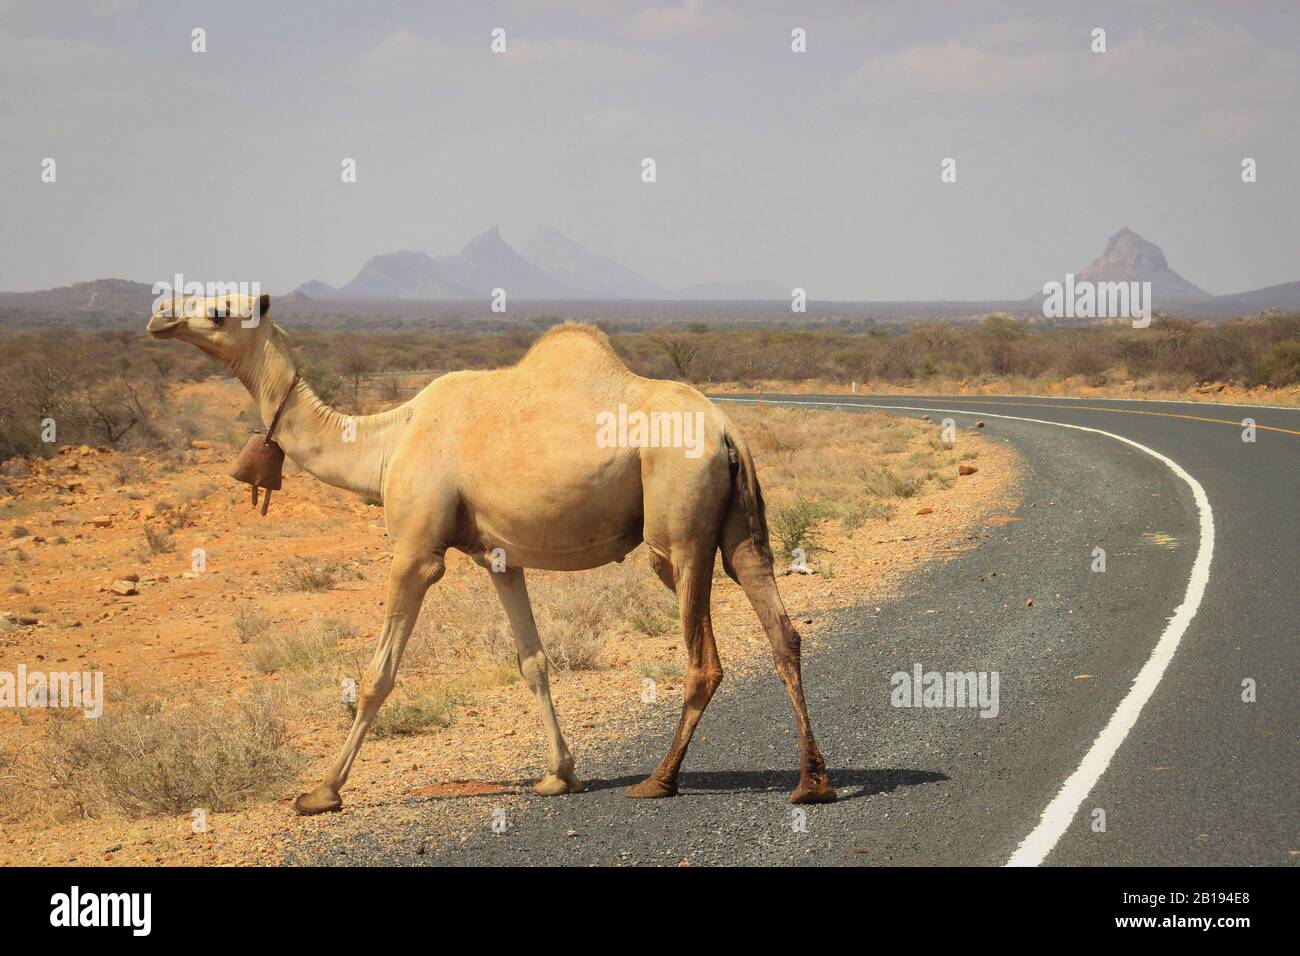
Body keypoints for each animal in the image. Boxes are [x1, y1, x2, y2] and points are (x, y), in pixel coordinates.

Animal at [147, 293, 835, 813]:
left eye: (218, 310)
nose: (160, 316)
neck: (387, 443)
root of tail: (728, 428)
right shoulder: (500, 555)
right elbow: (533, 661)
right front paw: (559, 774)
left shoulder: (417, 549)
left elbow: (378, 675)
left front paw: (321, 792)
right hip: (740, 529)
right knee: (781, 628)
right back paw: (812, 783)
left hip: (679, 524)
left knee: (703, 655)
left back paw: (659, 780)